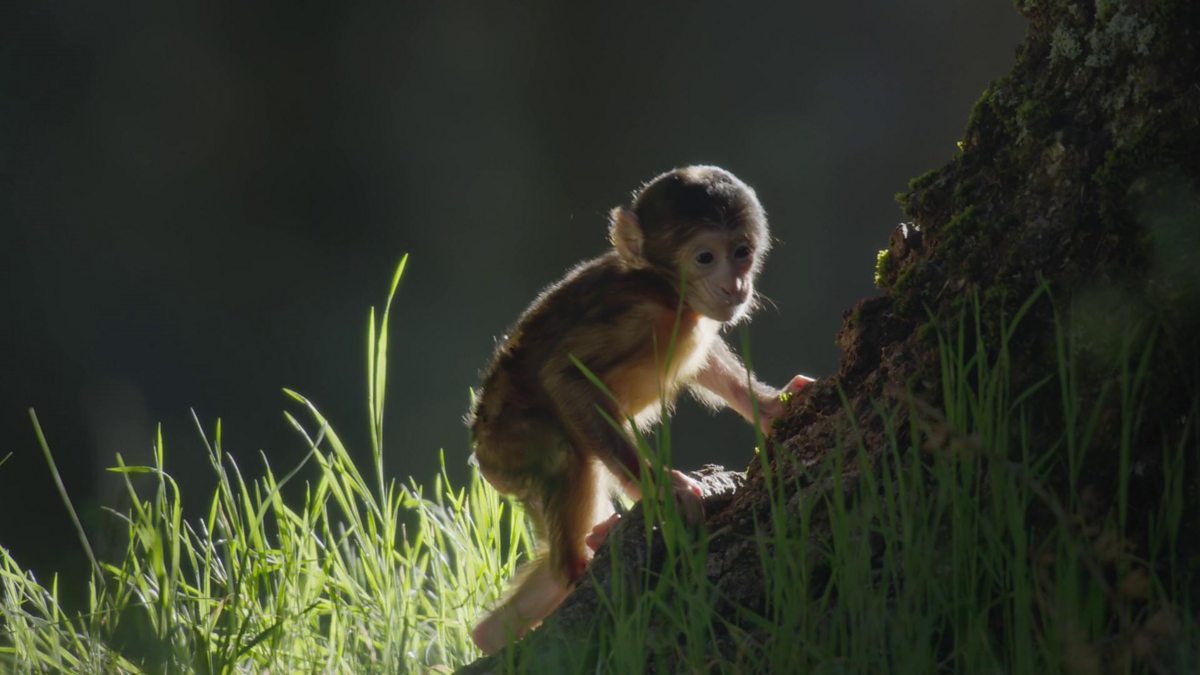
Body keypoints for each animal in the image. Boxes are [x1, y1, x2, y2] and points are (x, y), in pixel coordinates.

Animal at [466, 165, 813, 654]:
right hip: (510, 443)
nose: (736, 285)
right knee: (565, 456)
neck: (661, 286)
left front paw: (769, 408)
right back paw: (565, 573)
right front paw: (663, 489)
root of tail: (482, 455)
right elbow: (563, 377)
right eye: (705, 257)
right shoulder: (637, 313)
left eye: (742, 253)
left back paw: (497, 628)